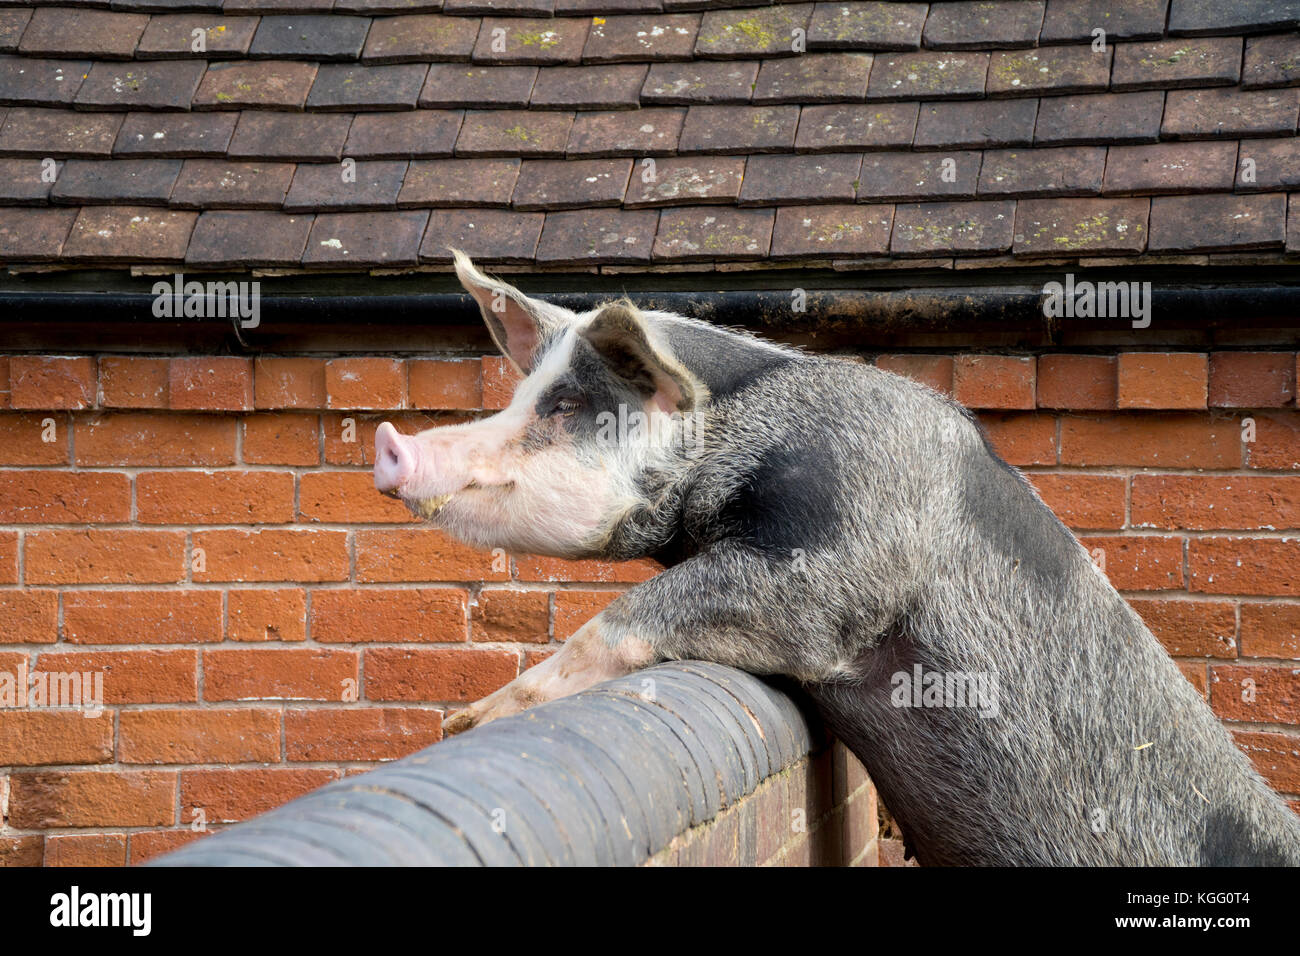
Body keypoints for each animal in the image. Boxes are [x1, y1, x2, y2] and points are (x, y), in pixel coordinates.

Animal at [372, 252, 1300, 866]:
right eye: (524, 395)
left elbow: (631, 615)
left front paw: (464, 724)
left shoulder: (830, 574)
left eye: (567, 406)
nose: (389, 442)